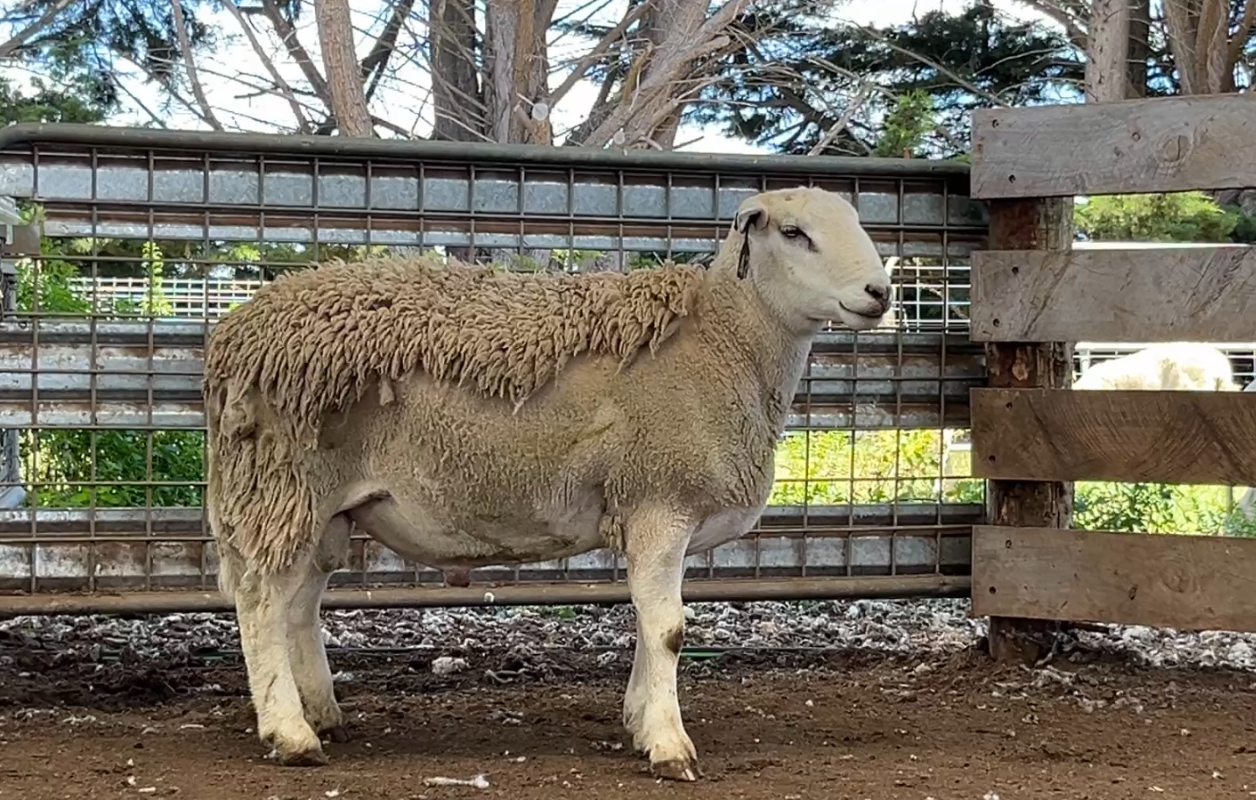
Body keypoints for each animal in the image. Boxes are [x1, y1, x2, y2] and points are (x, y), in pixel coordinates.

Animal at [202, 186, 893, 780]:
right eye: (794, 232)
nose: (880, 292)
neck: (722, 343)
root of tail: (234, 334)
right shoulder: (659, 500)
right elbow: (669, 628)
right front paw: (669, 746)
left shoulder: (656, 513)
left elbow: (649, 623)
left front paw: (638, 722)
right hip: (282, 483)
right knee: (262, 602)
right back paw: (291, 734)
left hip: (324, 506)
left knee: (300, 603)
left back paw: (321, 713)